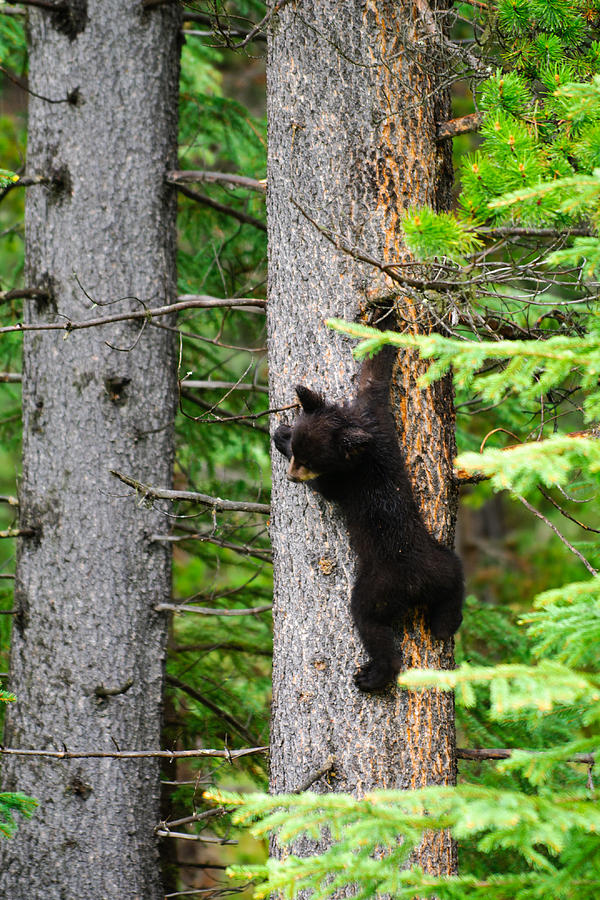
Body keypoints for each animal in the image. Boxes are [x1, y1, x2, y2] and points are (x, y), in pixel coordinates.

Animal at [273, 345, 464, 692]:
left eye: (309, 461)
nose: (291, 476)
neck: (361, 449)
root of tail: (420, 582)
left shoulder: (345, 480)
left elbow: (325, 489)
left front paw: (281, 435)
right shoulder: (373, 413)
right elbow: (373, 377)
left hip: (380, 587)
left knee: (370, 622)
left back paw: (373, 675)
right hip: (442, 563)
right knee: (456, 579)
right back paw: (446, 623)